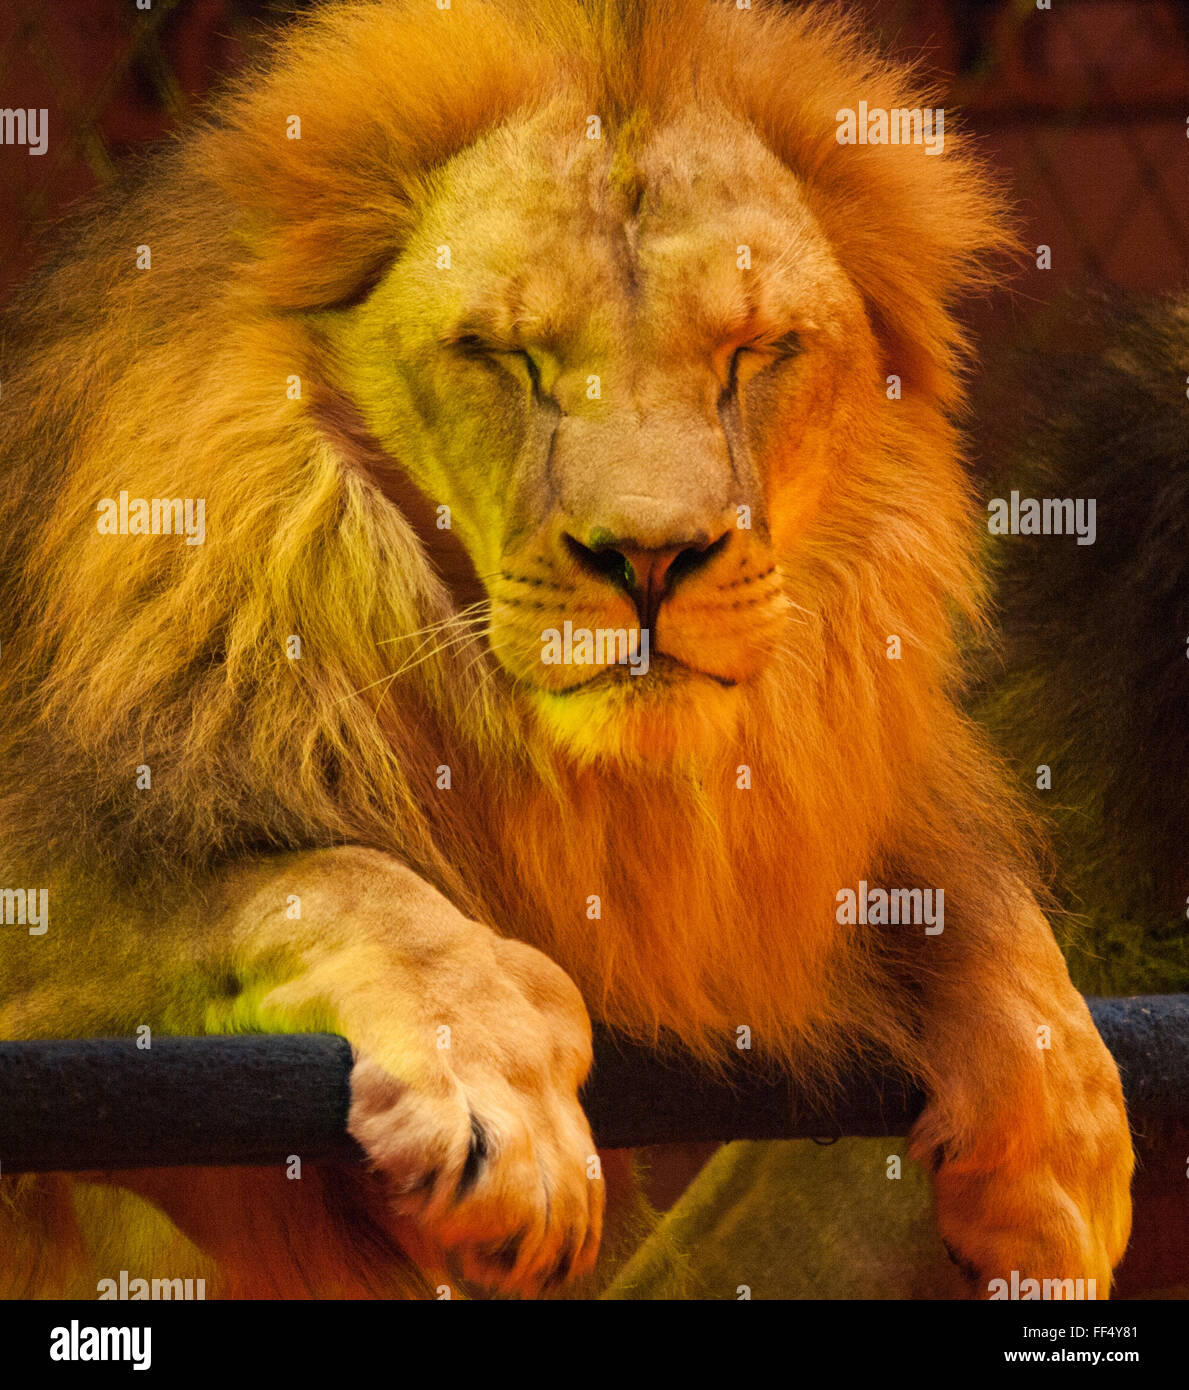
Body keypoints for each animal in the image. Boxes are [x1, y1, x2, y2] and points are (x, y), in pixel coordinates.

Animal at [0, 0, 1132, 1299]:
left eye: (754, 353)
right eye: (505, 356)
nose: (649, 559)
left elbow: (981, 906)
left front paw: (1065, 1142)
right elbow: (320, 875)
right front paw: (502, 1105)